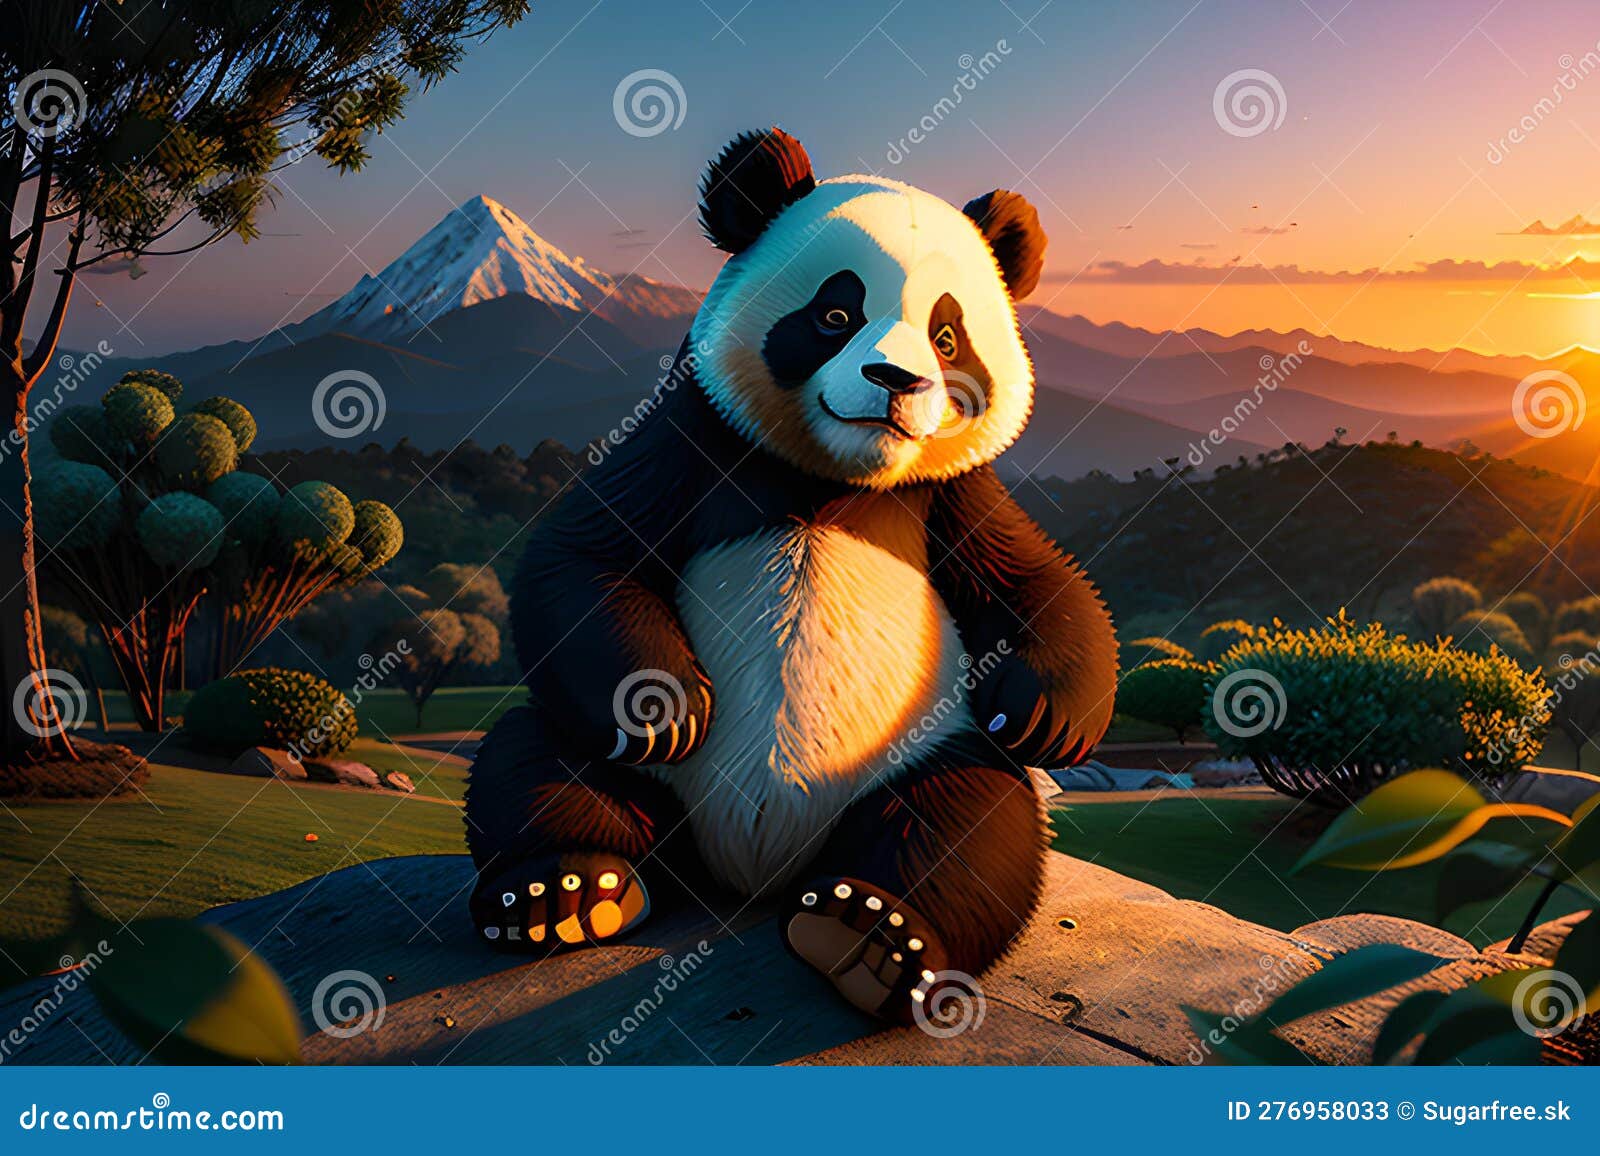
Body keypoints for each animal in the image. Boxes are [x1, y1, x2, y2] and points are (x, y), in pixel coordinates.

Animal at [465, 128, 1118, 1024]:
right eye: (835, 315)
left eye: (947, 337)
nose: (898, 381)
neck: (834, 478)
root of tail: (753, 873)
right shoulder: (693, 438)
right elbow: (586, 551)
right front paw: (666, 708)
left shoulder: (951, 494)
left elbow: (1034, 580)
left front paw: (1042, 714)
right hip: (640, 781)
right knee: (535, 762)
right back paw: (562, 890)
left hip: (910, 754)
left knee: (972, 819)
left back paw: (867, 935)